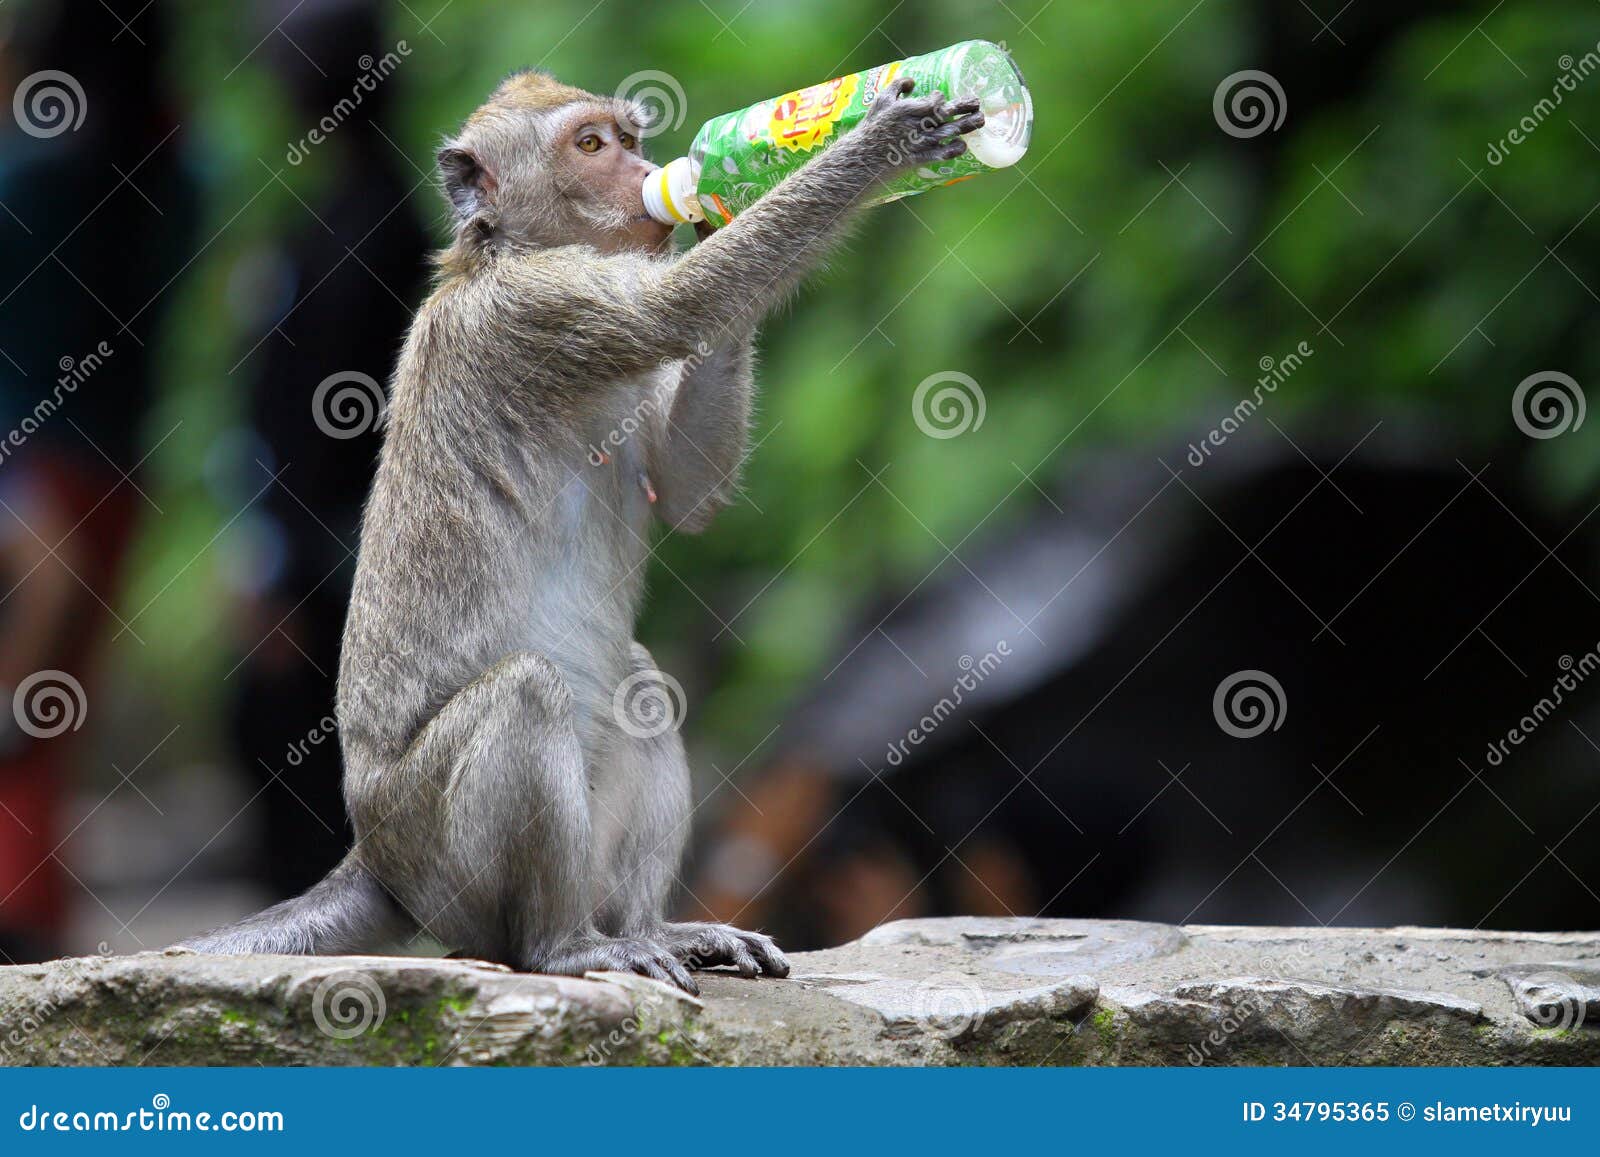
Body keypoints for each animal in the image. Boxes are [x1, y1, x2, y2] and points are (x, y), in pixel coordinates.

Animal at [178, 69, 984, 993]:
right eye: (590, 146)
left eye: (628, 138)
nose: (644, 170)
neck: (506, 253)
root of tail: (374, 859)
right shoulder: (540, 311)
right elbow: (680, 310)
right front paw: (883, 140)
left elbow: (687, 491)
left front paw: (717, 201)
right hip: (441, 857)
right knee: (526, 698)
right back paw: (565, 945)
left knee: (639, 680)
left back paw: (653, 928)